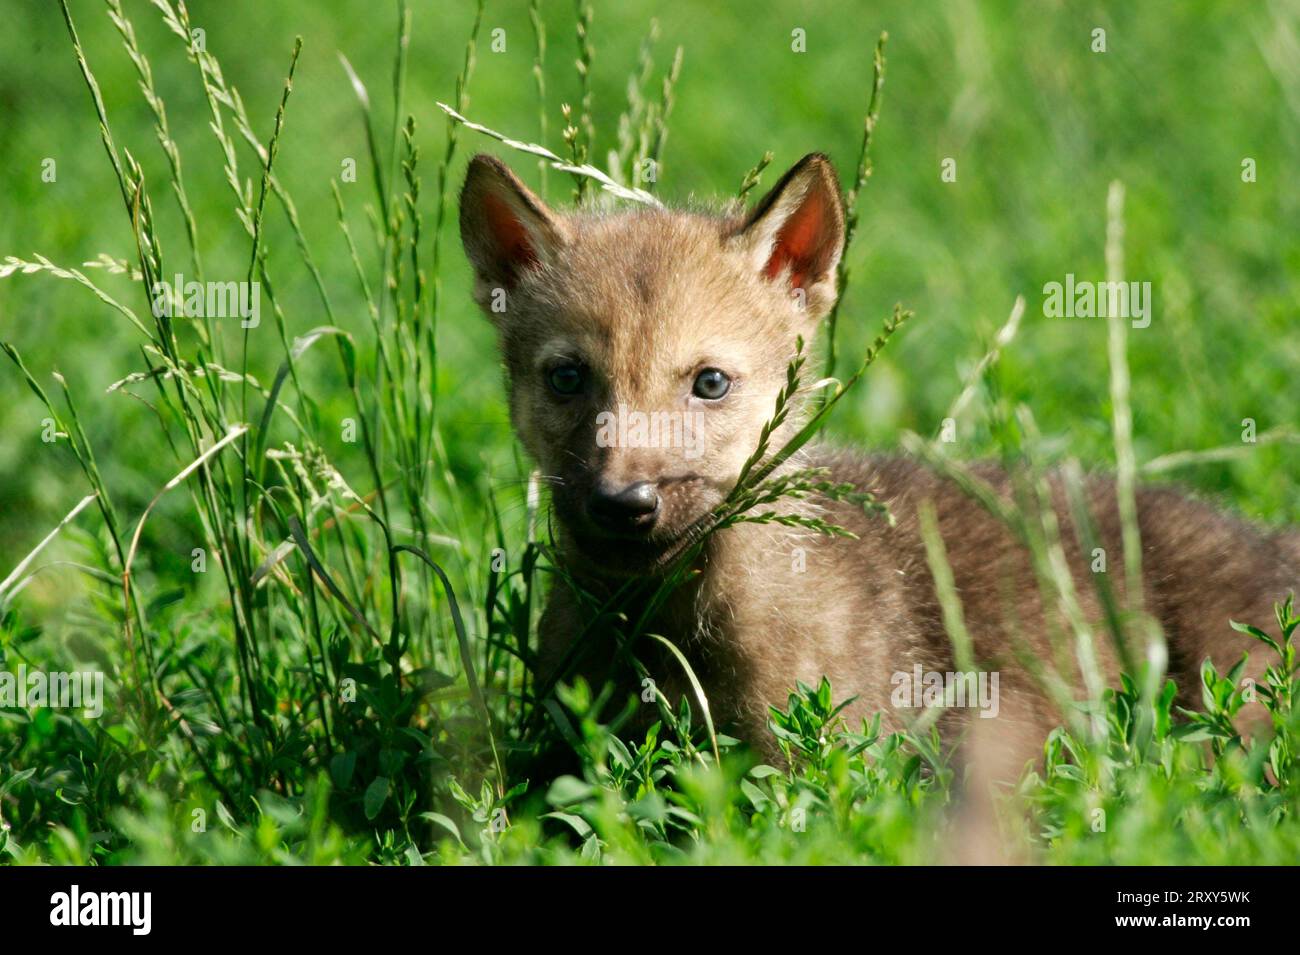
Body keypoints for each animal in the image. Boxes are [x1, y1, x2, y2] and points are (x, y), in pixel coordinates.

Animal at [459, 151, 1298, 782]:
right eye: (568, 376)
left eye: (710, 382)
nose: (624, 502)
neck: (662, 623)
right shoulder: (569, 742)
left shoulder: (832, 755)